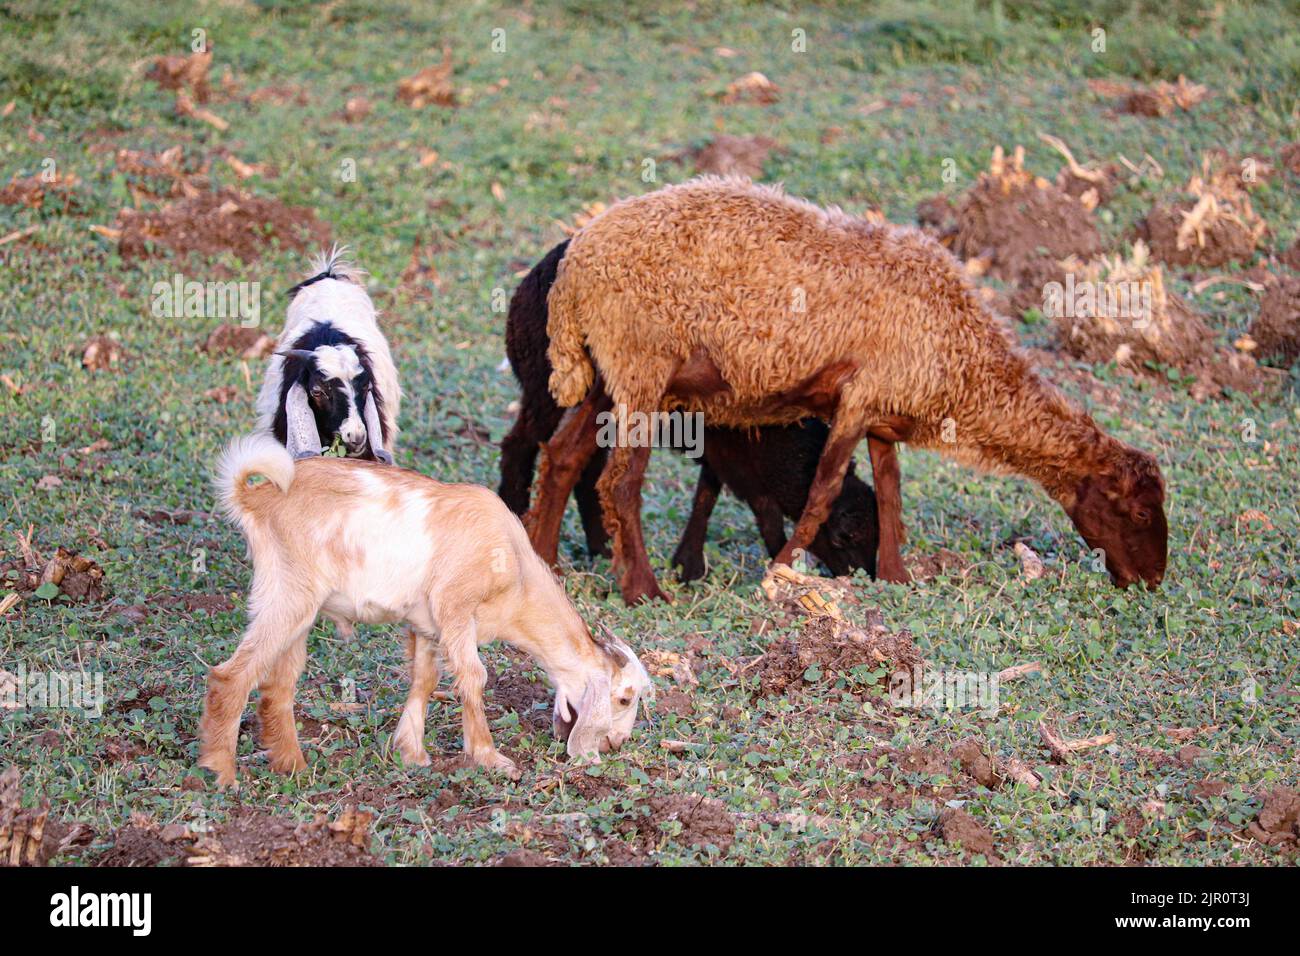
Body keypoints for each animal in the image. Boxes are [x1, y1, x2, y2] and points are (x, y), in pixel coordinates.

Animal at [199, 433, 652, 787]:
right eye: (624, 699)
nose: (617, 743)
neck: (515, 569)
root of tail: (256, 498)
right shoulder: (455, 608)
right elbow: (473, 677)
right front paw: (491, 758)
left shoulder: (426, 624)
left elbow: (424, 679)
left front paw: (412, 753)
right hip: (288, 596)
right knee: (231, 675)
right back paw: (222, 772)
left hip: (296, 608)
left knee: (279, 684)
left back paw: (293, 766)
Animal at [501, 240, 879, 581]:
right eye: (843, 536)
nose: (863, 576)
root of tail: (531, 278)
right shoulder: (733, 449)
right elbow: (760, 505)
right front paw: (774, 559)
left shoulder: (721, 442)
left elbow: (707, 493)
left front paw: (687, 565)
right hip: (546, 385)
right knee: (519, 444)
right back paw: (515, 515)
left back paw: (601, 546)